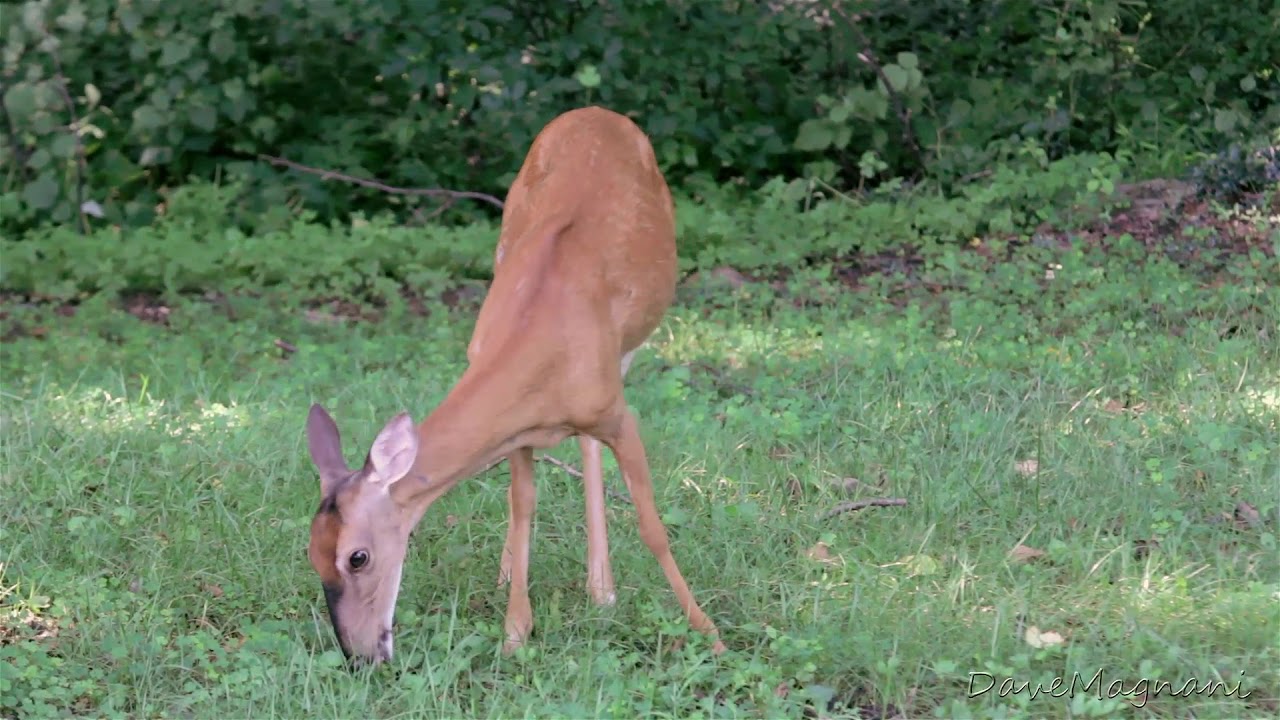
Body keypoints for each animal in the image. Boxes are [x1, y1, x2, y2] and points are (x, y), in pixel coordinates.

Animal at [302, 105, 726, 665]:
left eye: (358, 557)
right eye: (311, 554)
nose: (360, 656)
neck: (543, 337)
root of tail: (596, 110)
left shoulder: (618, 413)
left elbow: (652, 525)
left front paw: (708, 631)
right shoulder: (519, 429)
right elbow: (523, 504)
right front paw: (515, 633)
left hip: (630, 348)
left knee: (592, 447)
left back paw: (602, 589)